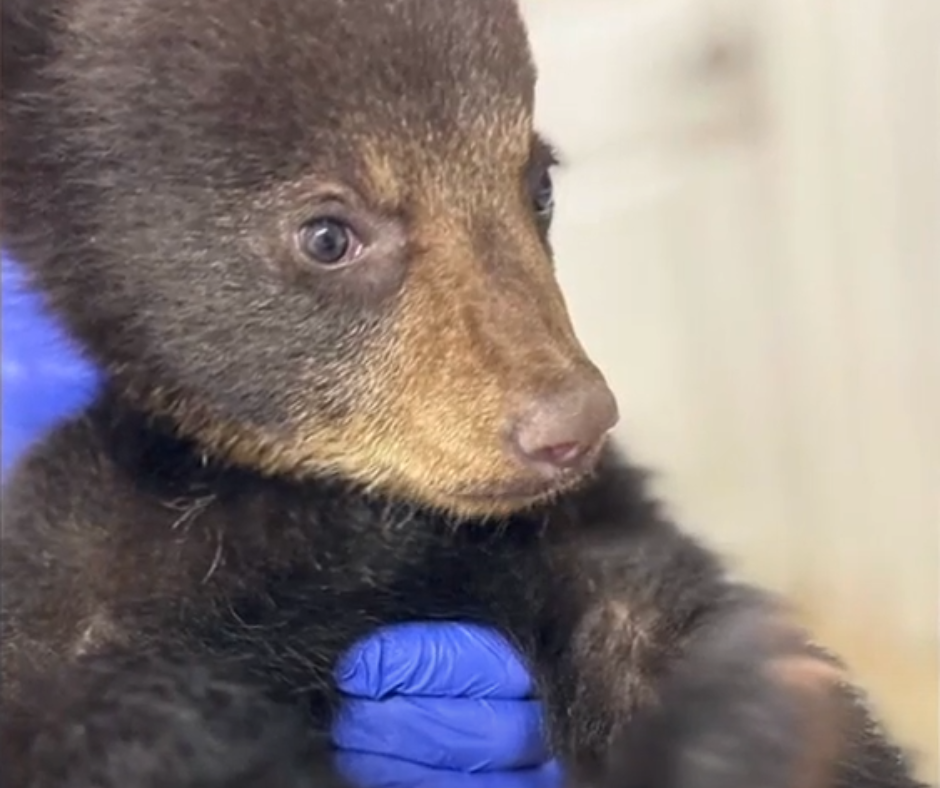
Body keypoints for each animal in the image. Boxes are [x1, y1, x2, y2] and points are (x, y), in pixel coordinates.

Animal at [0, 0, 928, 786]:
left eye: (539, 184)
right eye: (328, 234)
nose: (573, 424)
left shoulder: (577, 533)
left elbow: (656, 623)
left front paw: (754, 724)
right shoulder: (75, 595)